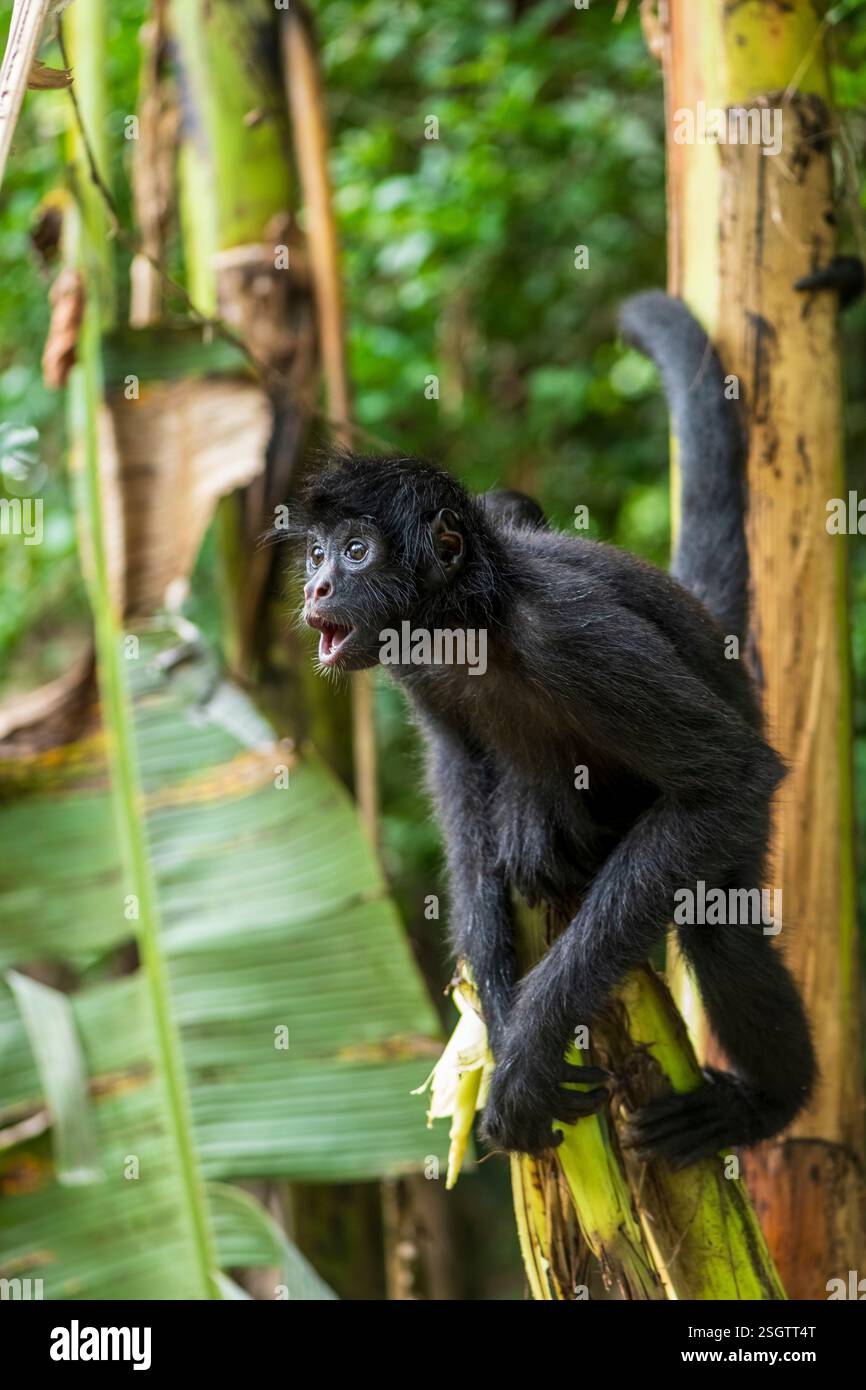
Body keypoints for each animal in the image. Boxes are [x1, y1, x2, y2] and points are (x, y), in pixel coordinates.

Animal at [276, 291, 815, 1165]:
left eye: (356, 551)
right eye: (318, 554)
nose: (316, 585)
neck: (475, 625)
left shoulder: (570, 632)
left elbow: (731, 778)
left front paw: (528, 1049)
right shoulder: (414, 668)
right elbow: (459, 772)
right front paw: (498, 1016)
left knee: (718, 921)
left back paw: (766, 1107)